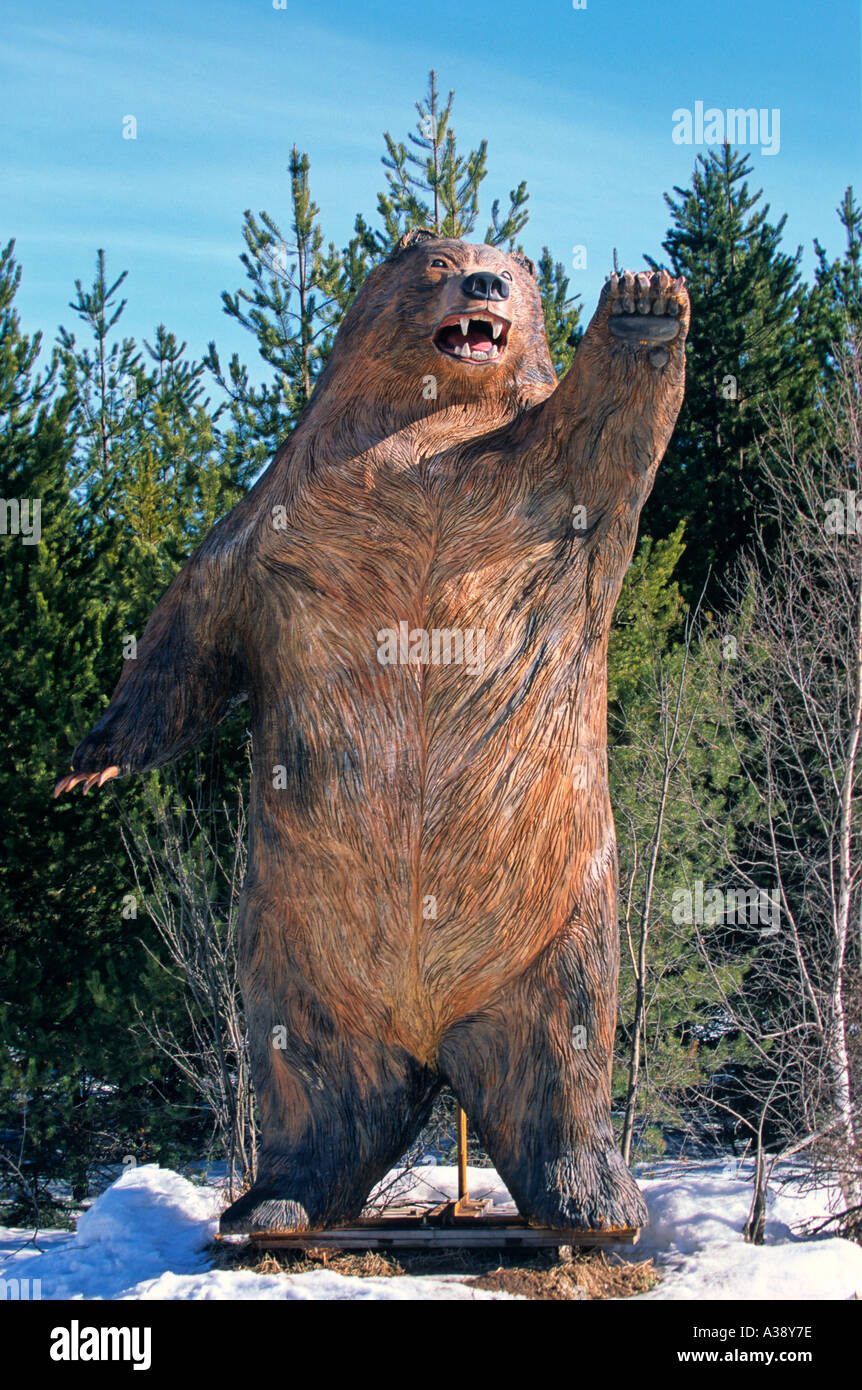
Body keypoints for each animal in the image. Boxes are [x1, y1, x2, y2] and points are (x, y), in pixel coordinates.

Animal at [55, 228, 690, 1234]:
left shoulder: (536, 482)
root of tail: (432, 1044)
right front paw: (90, 764)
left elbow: (598, 444)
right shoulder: (275, 517)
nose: (483, 282)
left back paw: (593, 1204)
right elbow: (187, 630)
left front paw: (643, 296)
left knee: (568, 1048)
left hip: (564, 926)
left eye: (513, 268)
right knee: (313, 1079)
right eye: (432, 261)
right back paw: (272, 1204)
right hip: (293, 958)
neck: (428, 434)